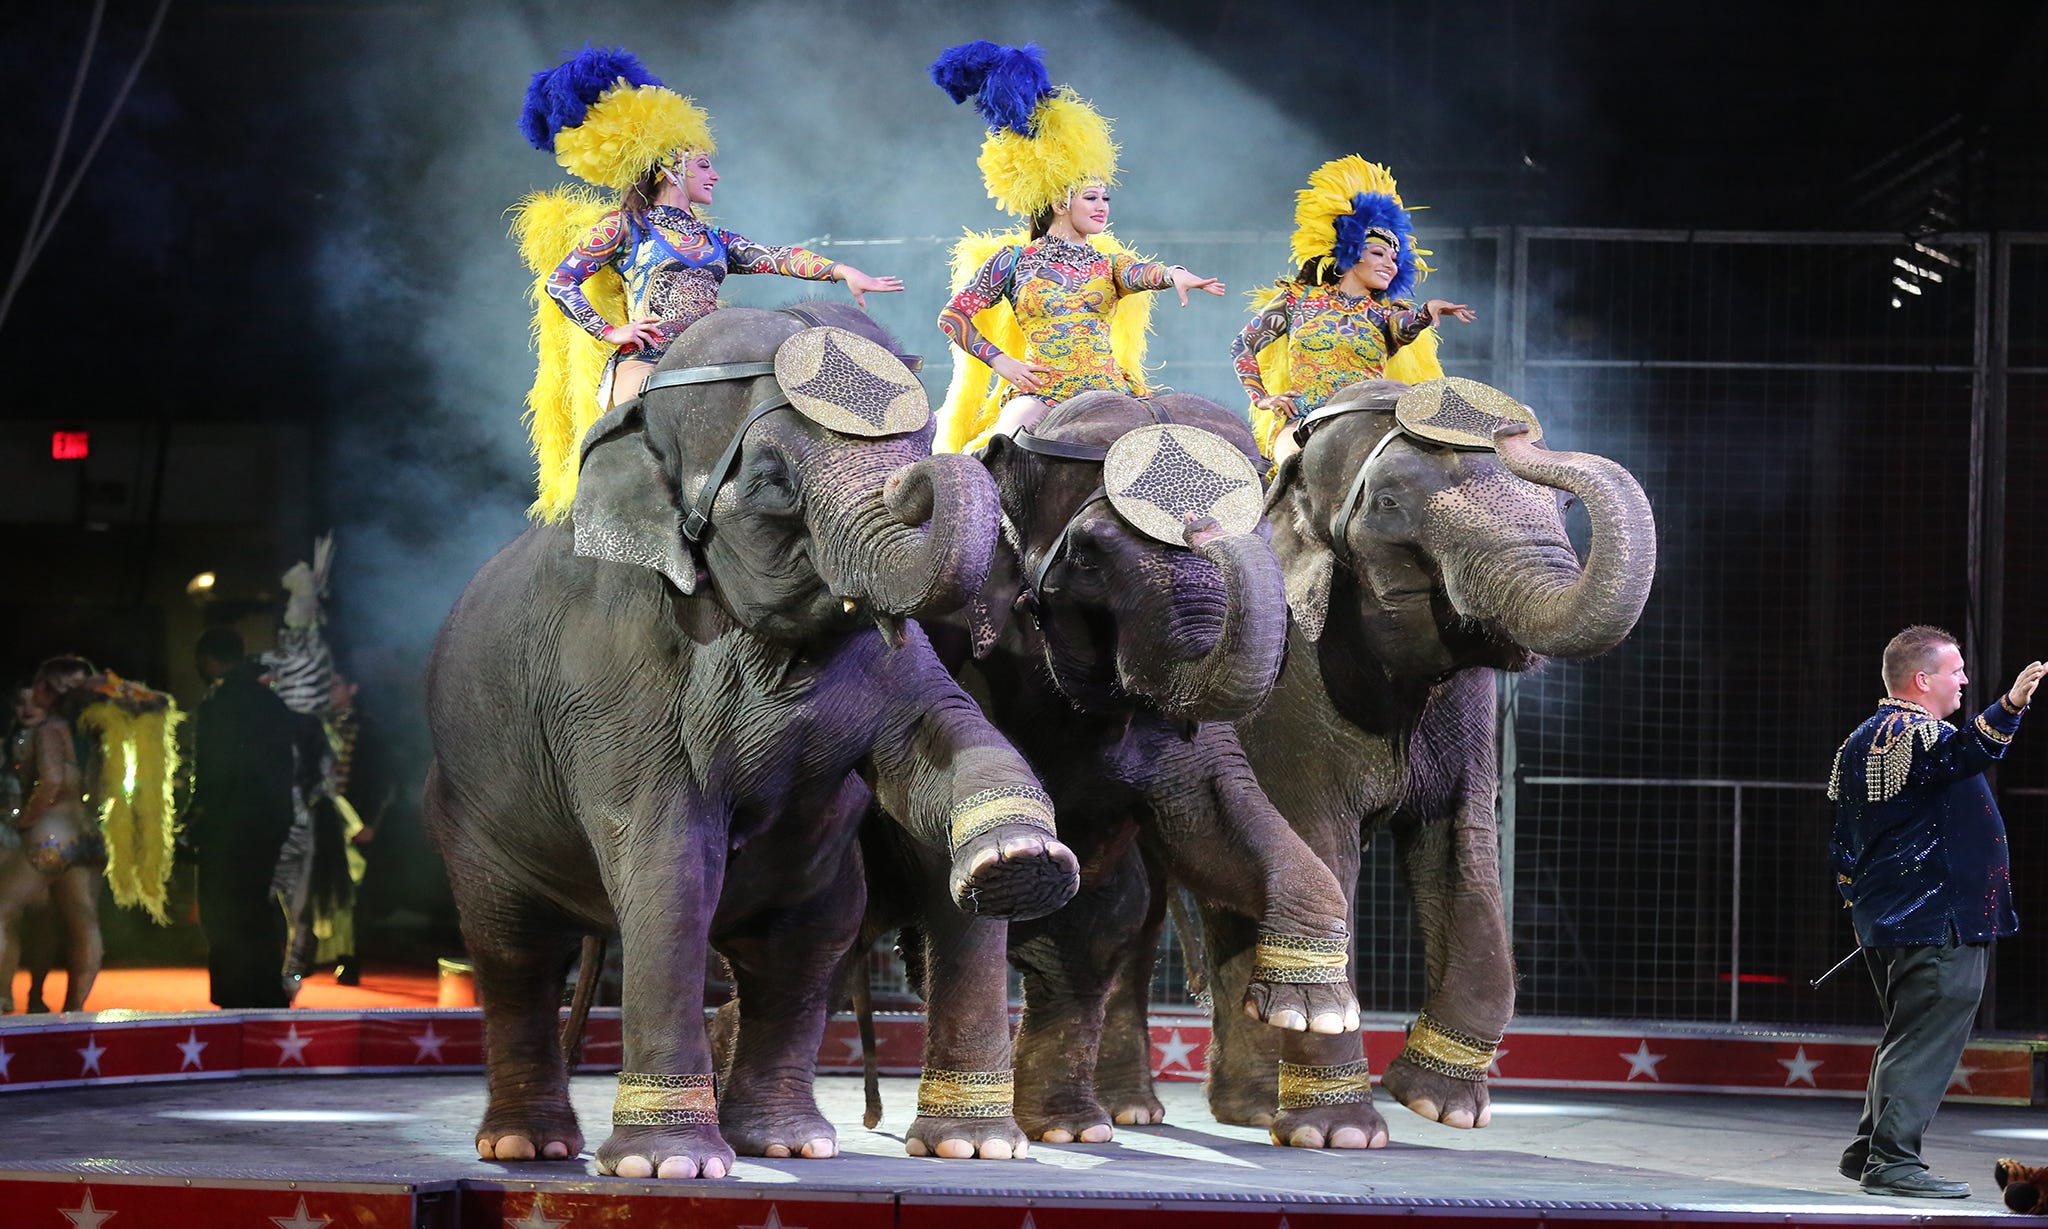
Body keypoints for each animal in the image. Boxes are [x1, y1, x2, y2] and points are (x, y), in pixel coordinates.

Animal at [424, 303, 1081, 1181]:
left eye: (916, 439)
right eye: (771, 481)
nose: (923, 474)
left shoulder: (889, 662)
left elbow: (942, 739)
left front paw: (1018, 864)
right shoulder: (608, 676)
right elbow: (667, 860)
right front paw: (664, 1165)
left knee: (796, 952)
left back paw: (798, 1140)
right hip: (467, 817)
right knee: (514, 954)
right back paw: (529, 1146)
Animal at [856, 388, 1362, 1155]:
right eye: (1090, 556)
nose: (1205, 524)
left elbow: (1214, 814)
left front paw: (1313, 1009)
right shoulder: (948, 645)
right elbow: (951, 856)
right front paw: (969, 1146)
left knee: (1096, 932)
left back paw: (1072, 1128)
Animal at [1196, 377, 1656, 1149]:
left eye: (1563, 508)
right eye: (1387, 504)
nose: (1513, 431)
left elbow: (1463, 848)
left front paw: (1440, 1106)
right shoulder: (1288, 682)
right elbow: (1318, 843)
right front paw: (1341, 1134)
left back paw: (1254, 1108)